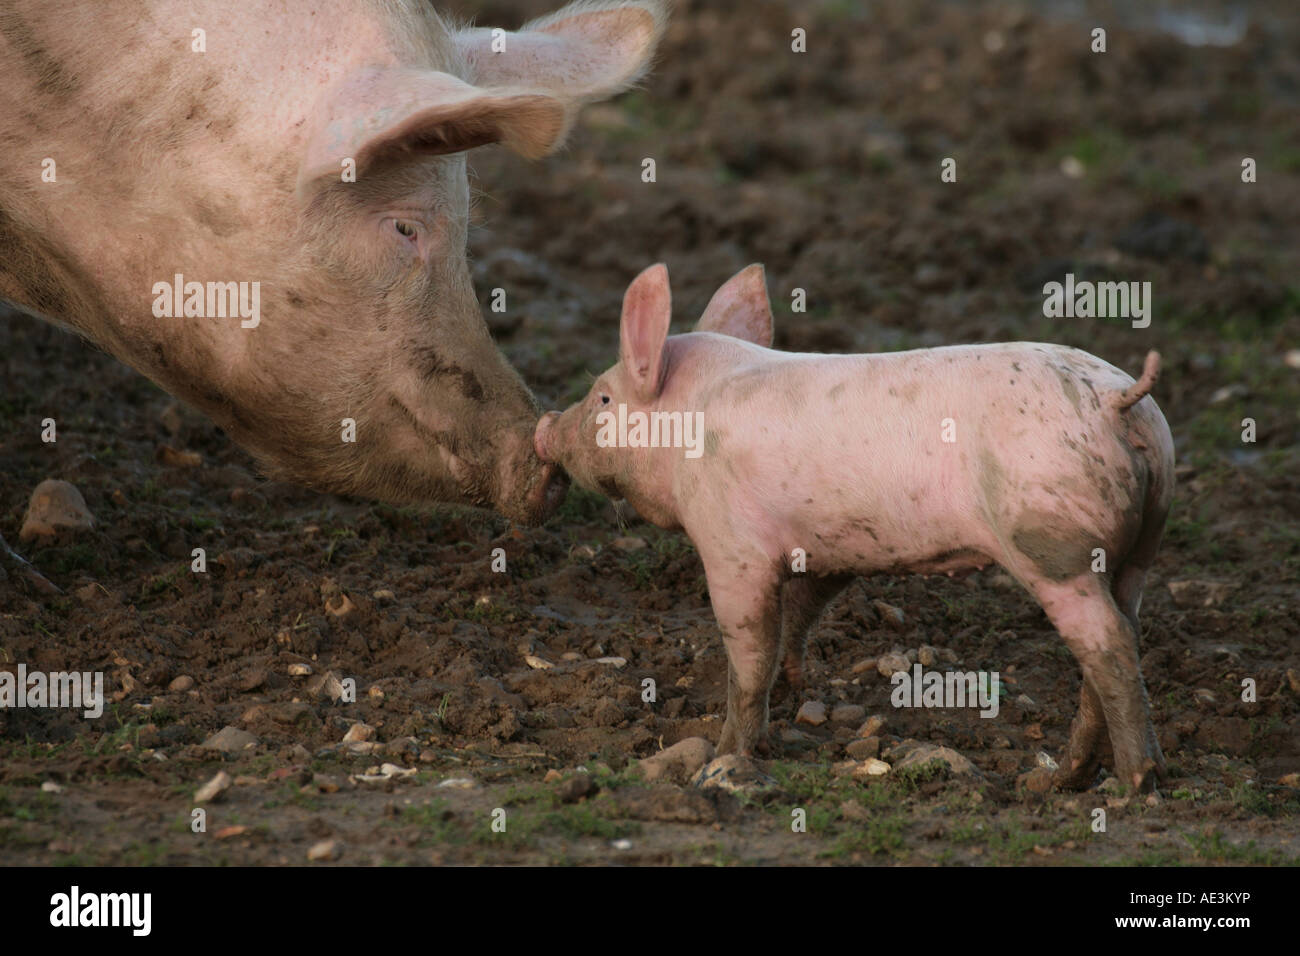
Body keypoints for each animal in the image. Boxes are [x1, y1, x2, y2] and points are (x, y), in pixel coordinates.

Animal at [535, 264, 1176, 792]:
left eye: (602, 398)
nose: (545, 427)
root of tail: (1117, 399)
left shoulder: (730, 541)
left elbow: (750, 652)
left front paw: (723, 758)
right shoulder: (831, 544)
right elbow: (801, 611)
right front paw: (793, 690)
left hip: (1052, 542)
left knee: (1109, 644)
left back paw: (1126, 785)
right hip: (1143, 540)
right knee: (1122, 632)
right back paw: (1064, 779)